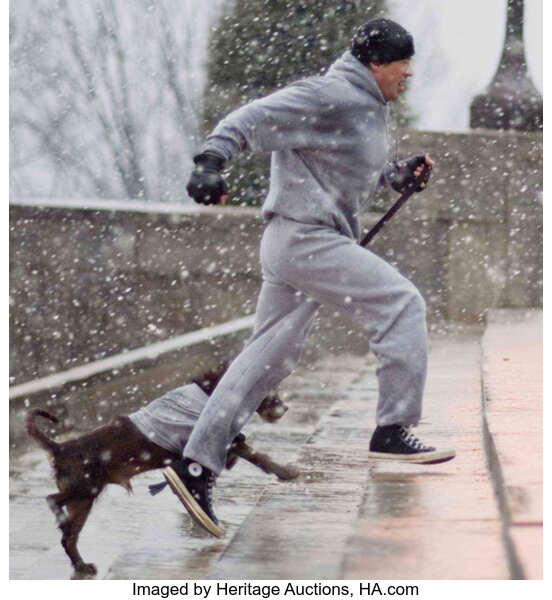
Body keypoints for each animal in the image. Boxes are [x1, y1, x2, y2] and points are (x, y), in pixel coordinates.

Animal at [28, 366, 300, 576]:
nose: (286, 408)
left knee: (68, 537)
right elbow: (258, 456)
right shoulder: (224, 439)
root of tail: (60, 447)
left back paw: (81, 566)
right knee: (52, 500)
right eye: (270, 391)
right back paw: (63, 526)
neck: (213, 391)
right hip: (84, 488)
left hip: (83, 500)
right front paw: (286, 472)